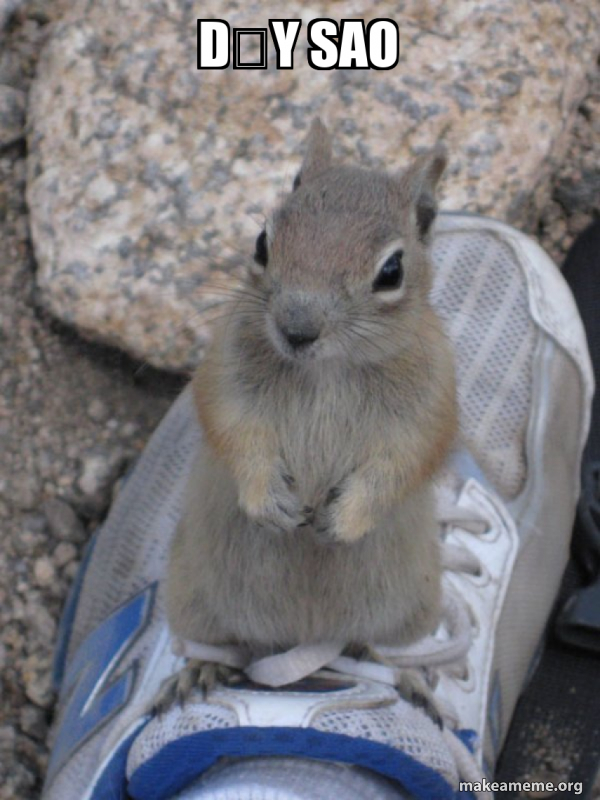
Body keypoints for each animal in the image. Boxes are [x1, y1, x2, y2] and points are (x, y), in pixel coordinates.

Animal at [163, 118, 457, 703]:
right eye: (263, 241)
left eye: (392, 271)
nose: (296, 329)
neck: (327, 369)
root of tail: (305, 634)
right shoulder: (227, 377)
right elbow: (236, 433)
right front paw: (268, 500)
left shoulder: (429, 406)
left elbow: (401, 463)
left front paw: (345, 519)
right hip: (189, 597)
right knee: (228, 645)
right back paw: (201, 670)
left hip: (414, 609)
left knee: (364, 644)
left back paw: (402, 677)